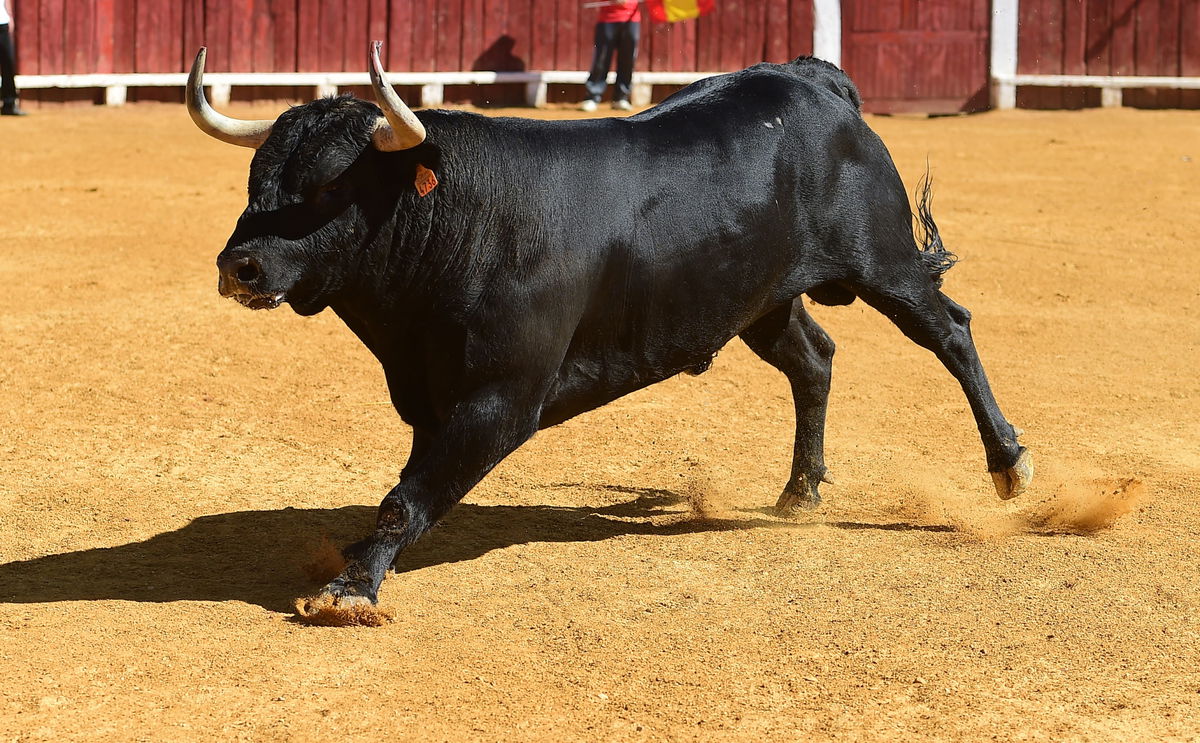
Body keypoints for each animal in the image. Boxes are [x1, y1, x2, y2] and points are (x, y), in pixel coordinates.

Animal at [187, 43, 1032, 623]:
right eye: (255, 180)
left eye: (331, 186)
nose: (239, 265)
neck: (455, 217)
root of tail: (812, 78)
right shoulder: (432, 397)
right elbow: (412, 486)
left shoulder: (499, 401)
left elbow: (407, 495)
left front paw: (348, 586)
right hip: (758, 298)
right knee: (814, 360)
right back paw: (798, 493)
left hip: (884, 263)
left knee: (951, 334)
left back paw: (1011, 465)